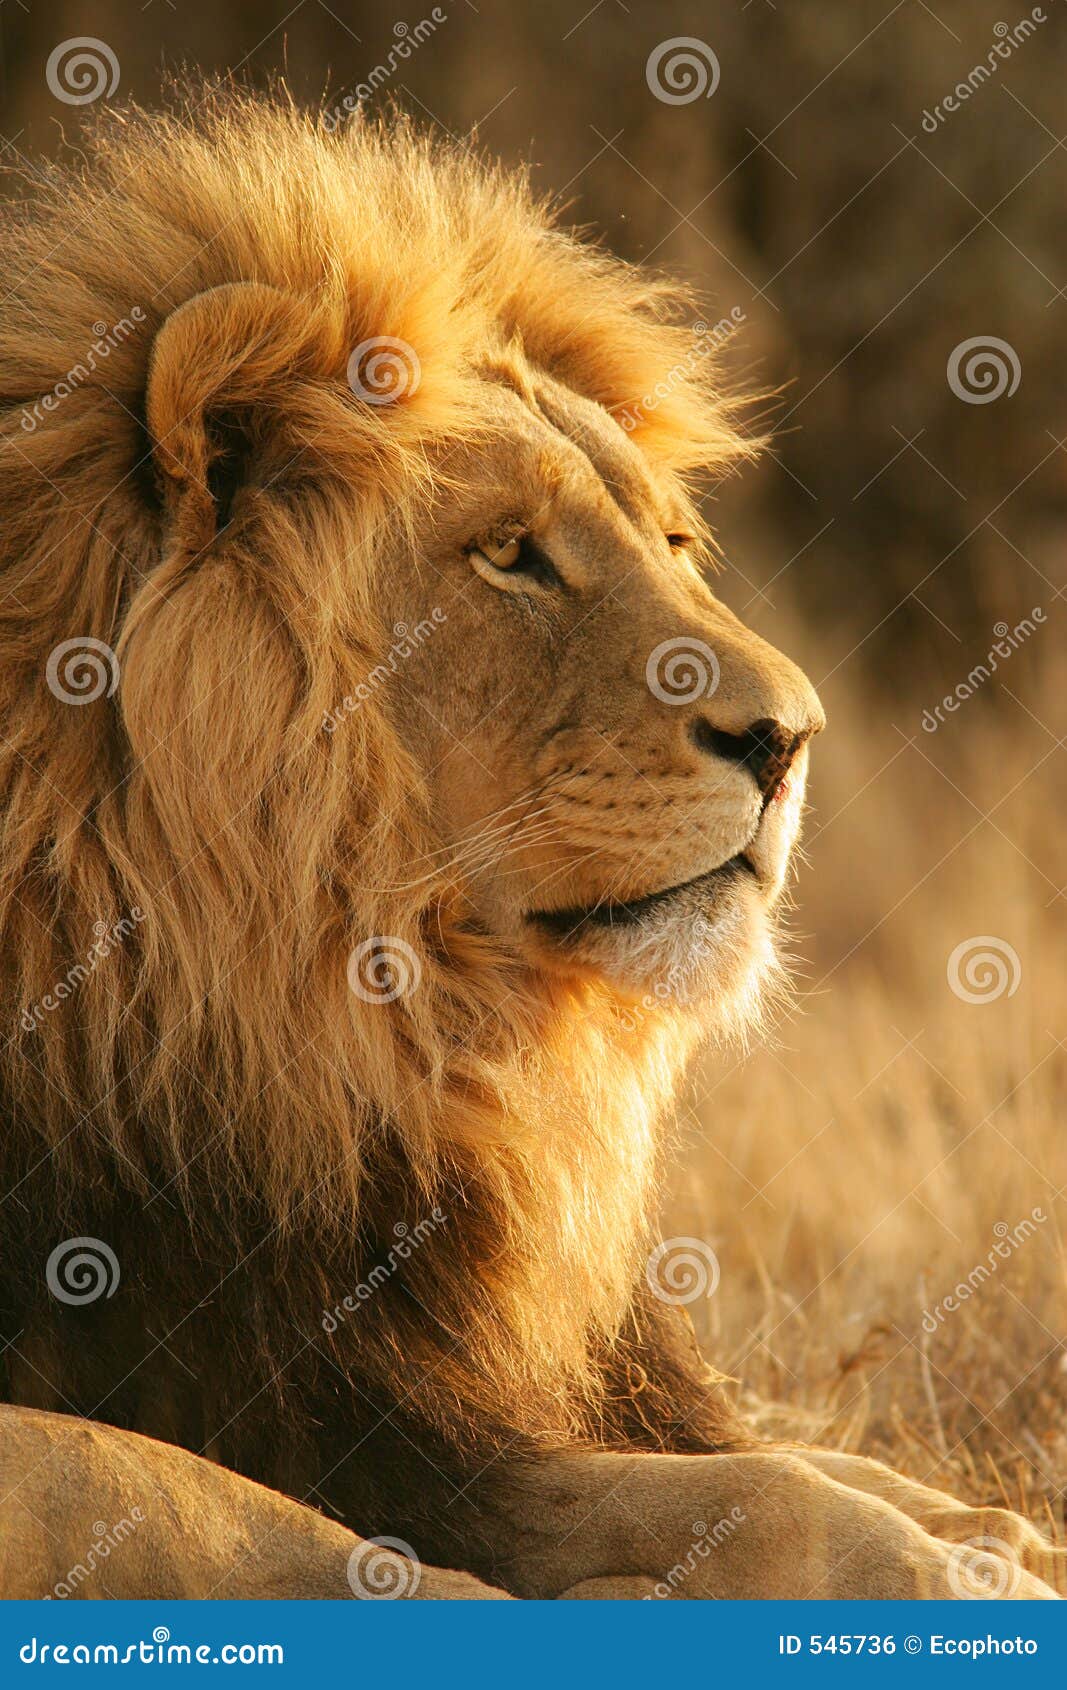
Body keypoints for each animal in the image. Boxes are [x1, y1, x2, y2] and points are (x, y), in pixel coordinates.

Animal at [0, 85, 1062, 1601]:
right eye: (508, 554)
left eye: (671, 540)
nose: (791, 737)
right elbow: (182, 1488)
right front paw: (952, 1570)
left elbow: (764, 1458)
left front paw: (974, 1525)